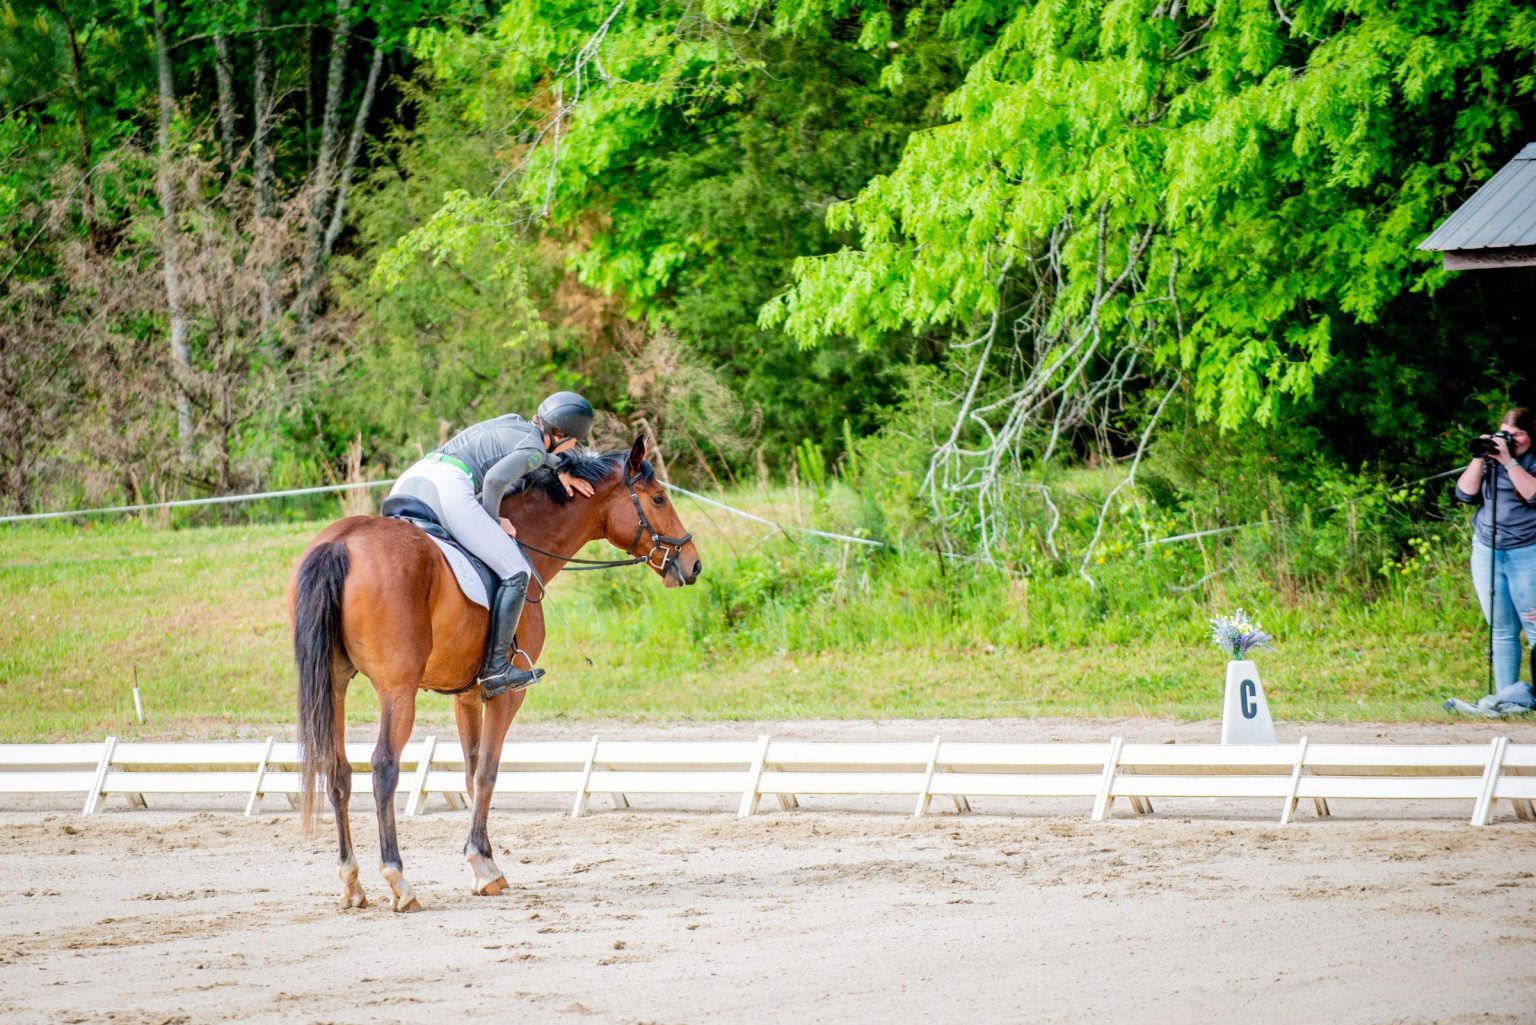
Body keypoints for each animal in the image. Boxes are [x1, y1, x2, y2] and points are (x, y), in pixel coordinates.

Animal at [288, 436, 701, 911]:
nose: (693, 564)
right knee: (383, 767)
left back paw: (351, 883)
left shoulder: (467, 694)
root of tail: (342, 542)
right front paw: (485, 867)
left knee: (337, 772)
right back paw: (399, 881)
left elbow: (470, 771)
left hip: (334, 683)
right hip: (398, 690)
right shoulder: (506, 692)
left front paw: (479, 863)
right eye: (659, 498)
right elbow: (487, 771)